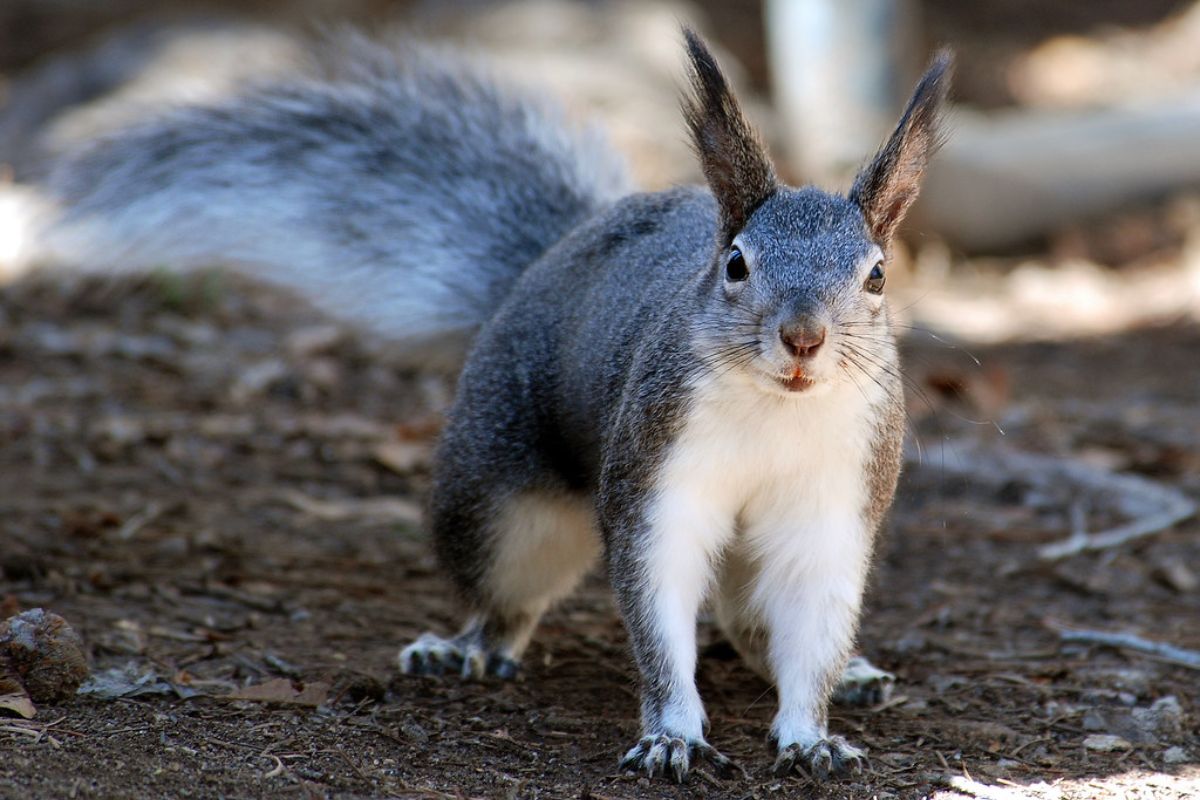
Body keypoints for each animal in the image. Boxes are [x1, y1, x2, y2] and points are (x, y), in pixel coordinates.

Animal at [5, 28, 951, 783]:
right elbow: (659, 613)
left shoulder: (833, 506)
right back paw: (465, 648)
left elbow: (812, 626)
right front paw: (673, 734)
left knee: (753, 623)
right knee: (507, 595)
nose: (803, 338)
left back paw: (850, 673)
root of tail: (549, 262)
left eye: (876, 275)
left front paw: (810, 732)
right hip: (498, 504)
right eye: (735, 264)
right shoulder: (656, 485)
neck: (777, 411)